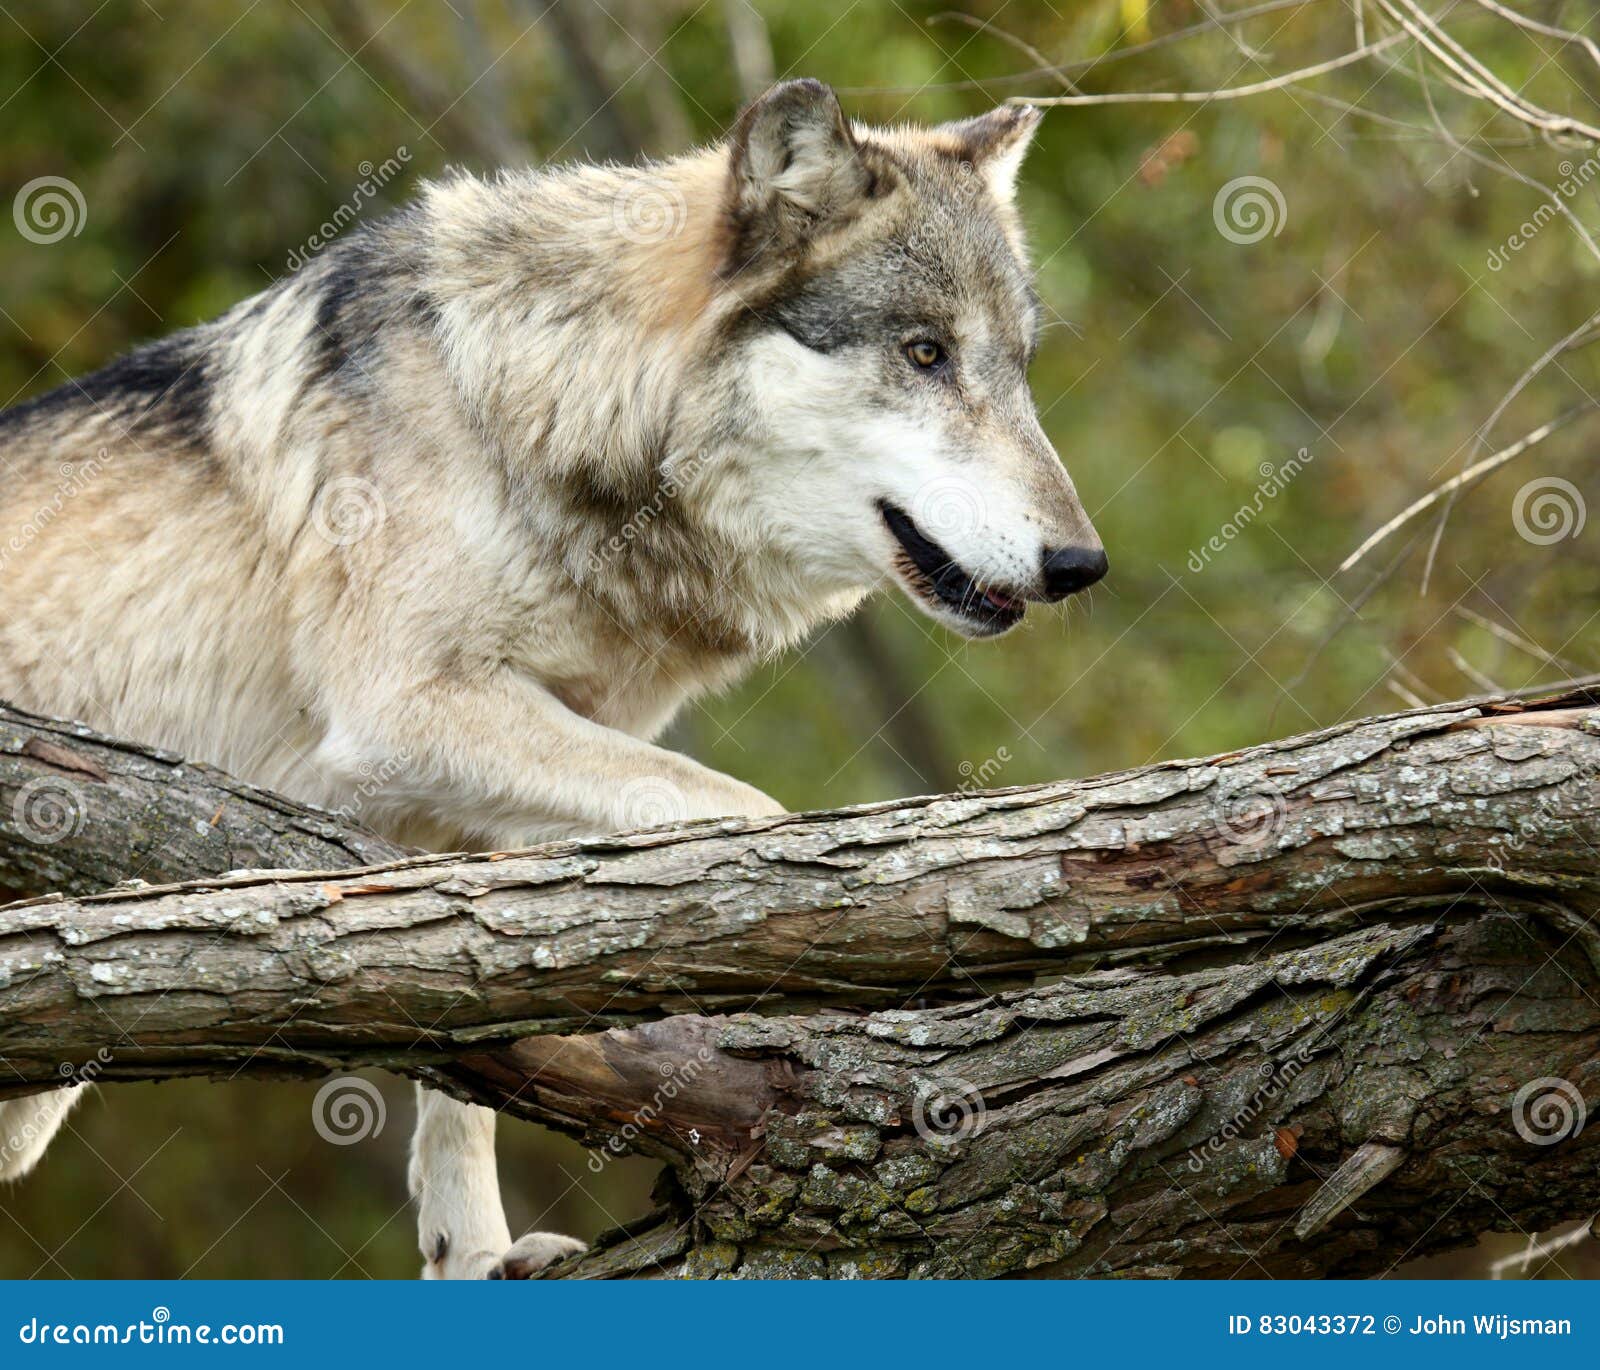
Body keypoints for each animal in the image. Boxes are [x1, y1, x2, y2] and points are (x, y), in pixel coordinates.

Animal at [0, 79, 1105, 1278]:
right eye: (924, 352)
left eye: (1017, 367)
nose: (1080, 564)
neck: (532, 412)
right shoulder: (407, 709)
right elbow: (742, 815)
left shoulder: (495, 804)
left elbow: (477, 1032)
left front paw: (471, 1259)